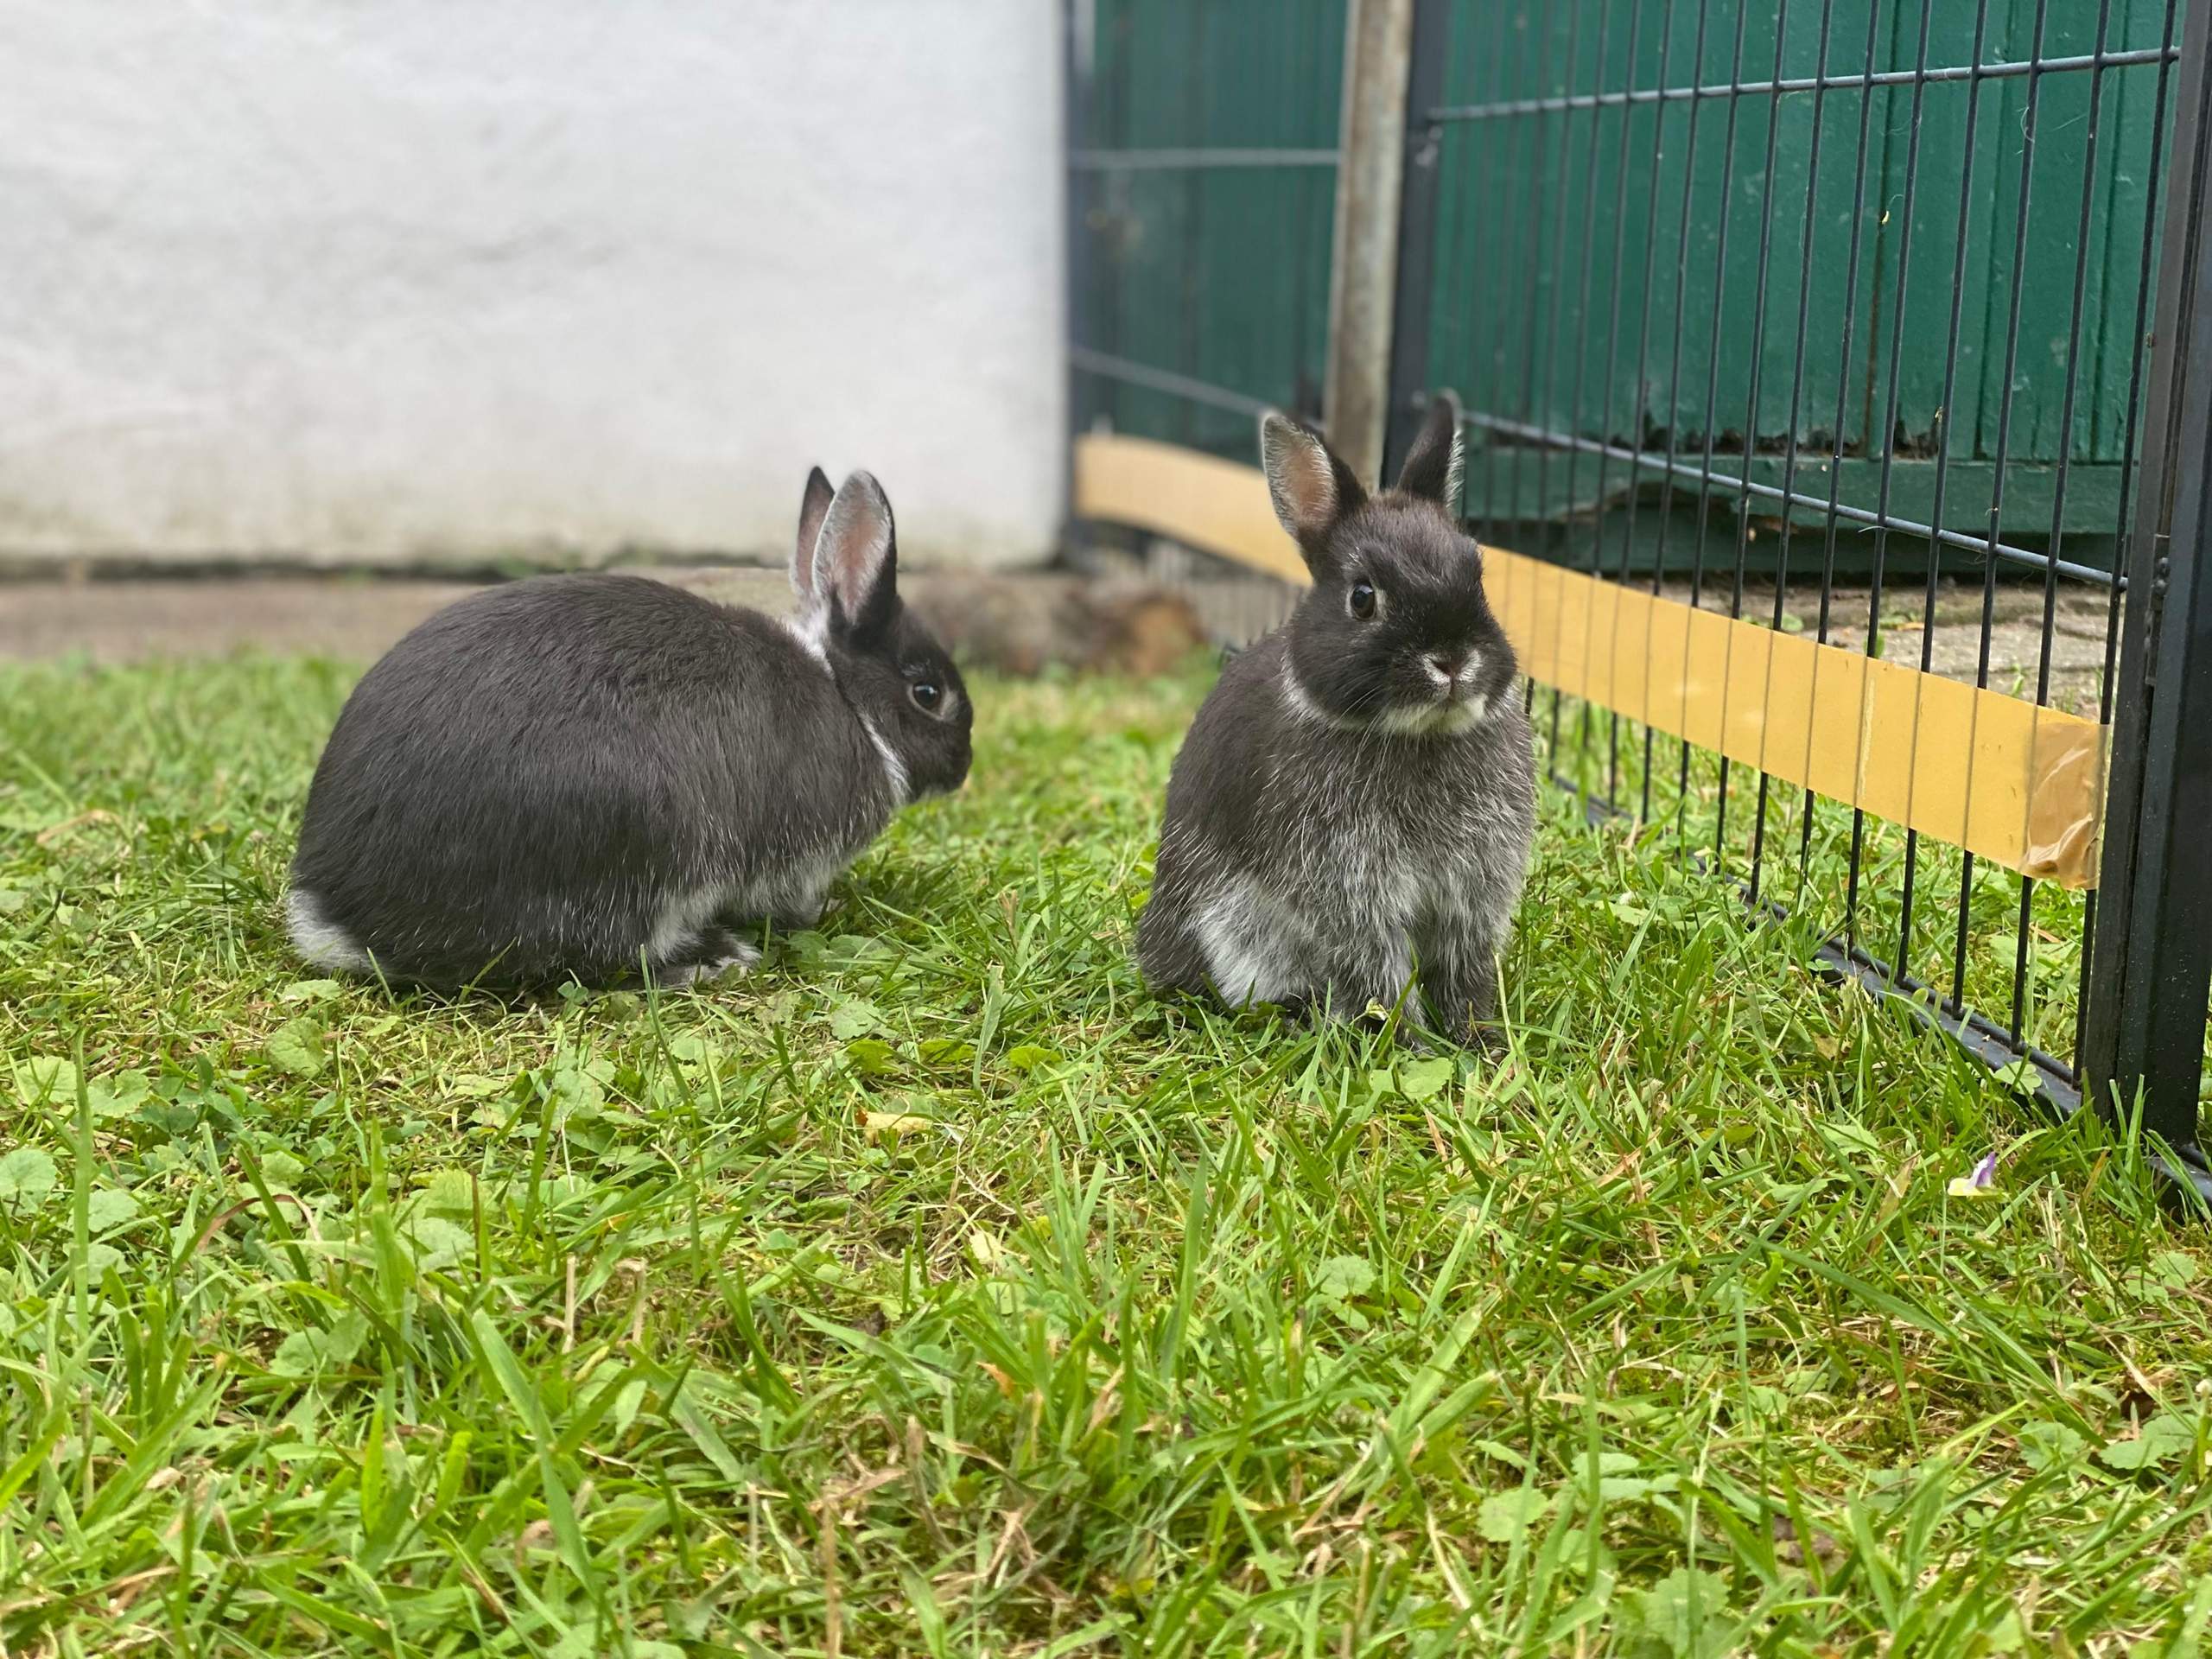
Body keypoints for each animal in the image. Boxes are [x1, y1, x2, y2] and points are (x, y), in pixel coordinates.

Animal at [286, 467, 972, 991]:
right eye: (929, 694)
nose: (963, 769)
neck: (848, 700)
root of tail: (343, 913)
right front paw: (824, 910)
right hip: (641, 852)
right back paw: (712, 959)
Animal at [1136, 393, 1535, 1043]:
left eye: (1477, 576)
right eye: (1363, 597)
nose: (1452, 659)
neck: (1414, 736)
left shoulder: (1471, 895)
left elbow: (1464, 967)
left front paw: (1482, 1039)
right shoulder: (1349, 893)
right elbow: (1381, 969)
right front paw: (1413, 1044)